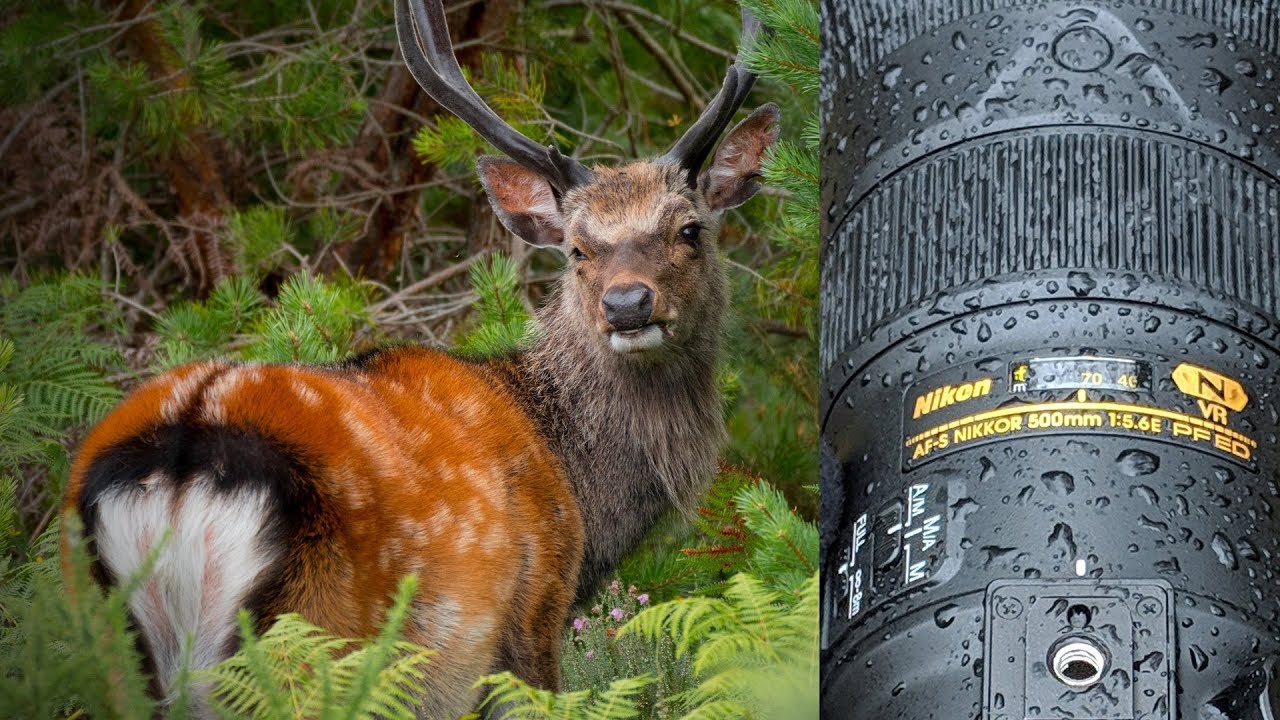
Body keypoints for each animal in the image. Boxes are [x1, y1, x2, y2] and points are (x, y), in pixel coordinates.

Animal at [60, 0, 780, 716]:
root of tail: (182, 455)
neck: (573, 479)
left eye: (690, 229)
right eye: (577, 249)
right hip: (316, 639)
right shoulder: (533, 613)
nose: (628, 304)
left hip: (105, 641)